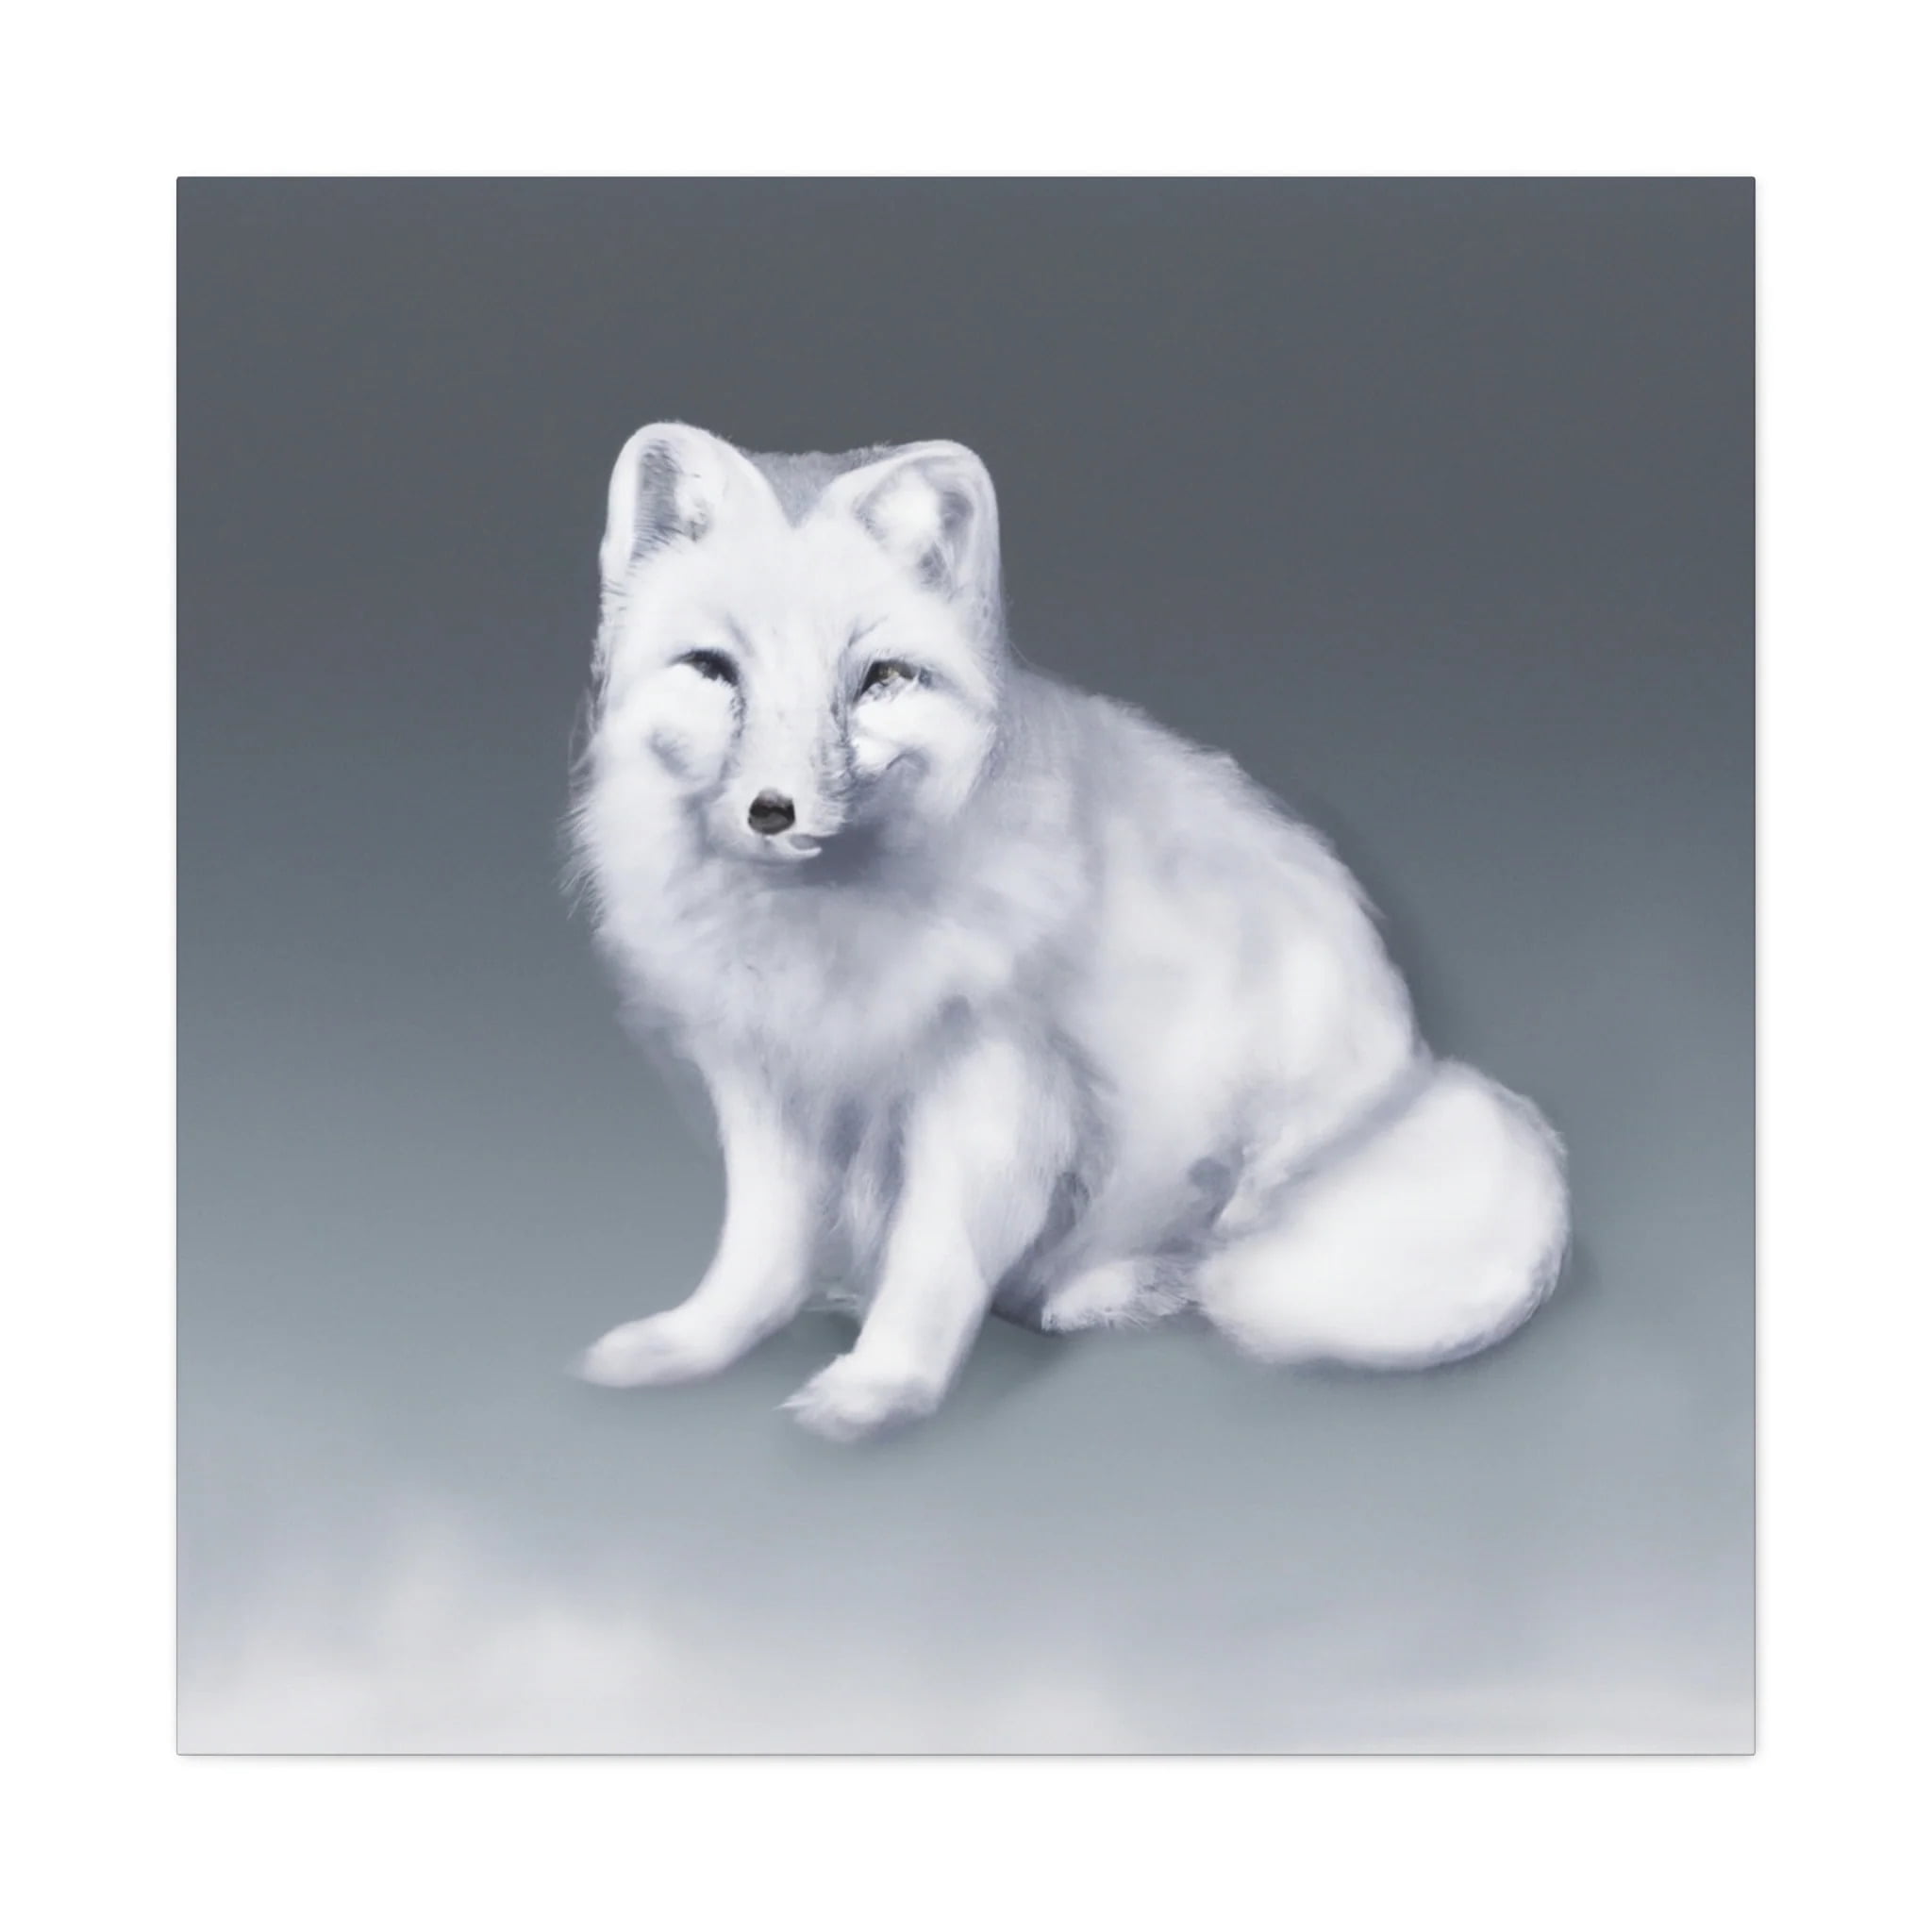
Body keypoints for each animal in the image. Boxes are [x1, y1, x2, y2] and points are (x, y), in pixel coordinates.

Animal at [567, 423, 1569, 1442]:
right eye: (711, 668)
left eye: (881, 678)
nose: (773, 810)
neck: (821, 930)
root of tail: (1415, 1071)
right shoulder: (765, 1075)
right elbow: (760, 1247)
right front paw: (694, 1342)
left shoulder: (995, 1083)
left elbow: (936, 1254)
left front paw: (882, 1386)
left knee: (1200, 1258)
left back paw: (1102, 1289)